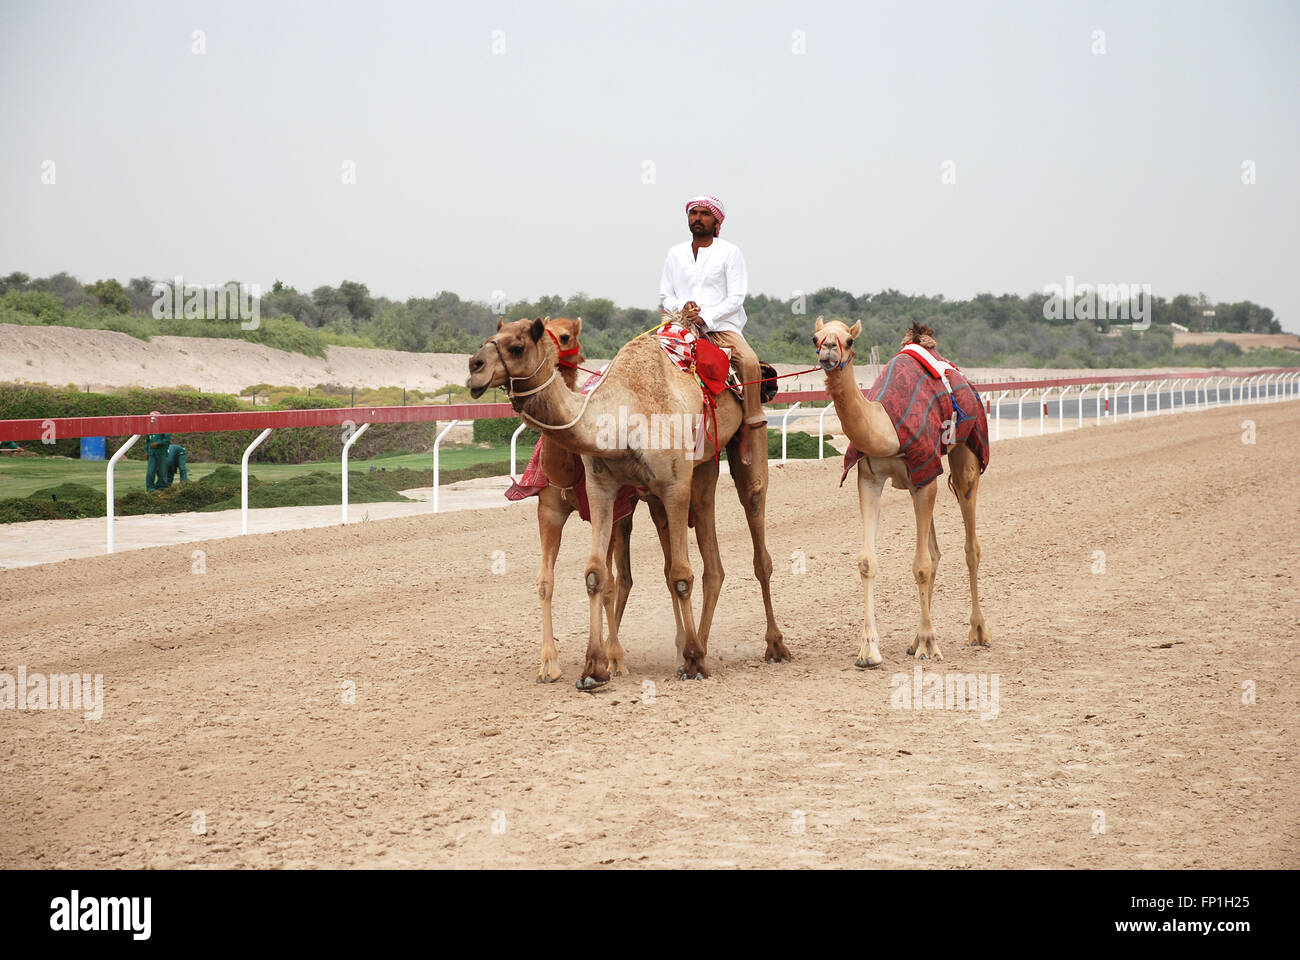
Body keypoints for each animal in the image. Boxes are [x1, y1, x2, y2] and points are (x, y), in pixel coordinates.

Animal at [468, 315, 790, 689]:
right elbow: (596, 573)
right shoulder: (602, 487)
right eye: (489, 338)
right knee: (711, 560)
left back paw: (770, 646)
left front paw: (692, 663)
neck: (622, 418)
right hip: (699, 469)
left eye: (516, 346)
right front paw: (593, 669)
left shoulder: (674, 484)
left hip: (745, 442)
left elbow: (681, 574)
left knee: (755, 525)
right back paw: (697, 645)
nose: (474, 367)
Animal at [814, 316, 990, 667]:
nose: (828, 351)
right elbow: (868, 561)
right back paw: (914, 638)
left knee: (970, 546)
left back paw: (978, 632)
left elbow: (921, 564)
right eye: (815, 338)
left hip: (965, 455)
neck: (888, 430)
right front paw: (868, 651)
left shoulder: (924, 476)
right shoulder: (870, 478)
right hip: (920, 480)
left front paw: (929, 646)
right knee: (936, 552)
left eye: (849, 341)